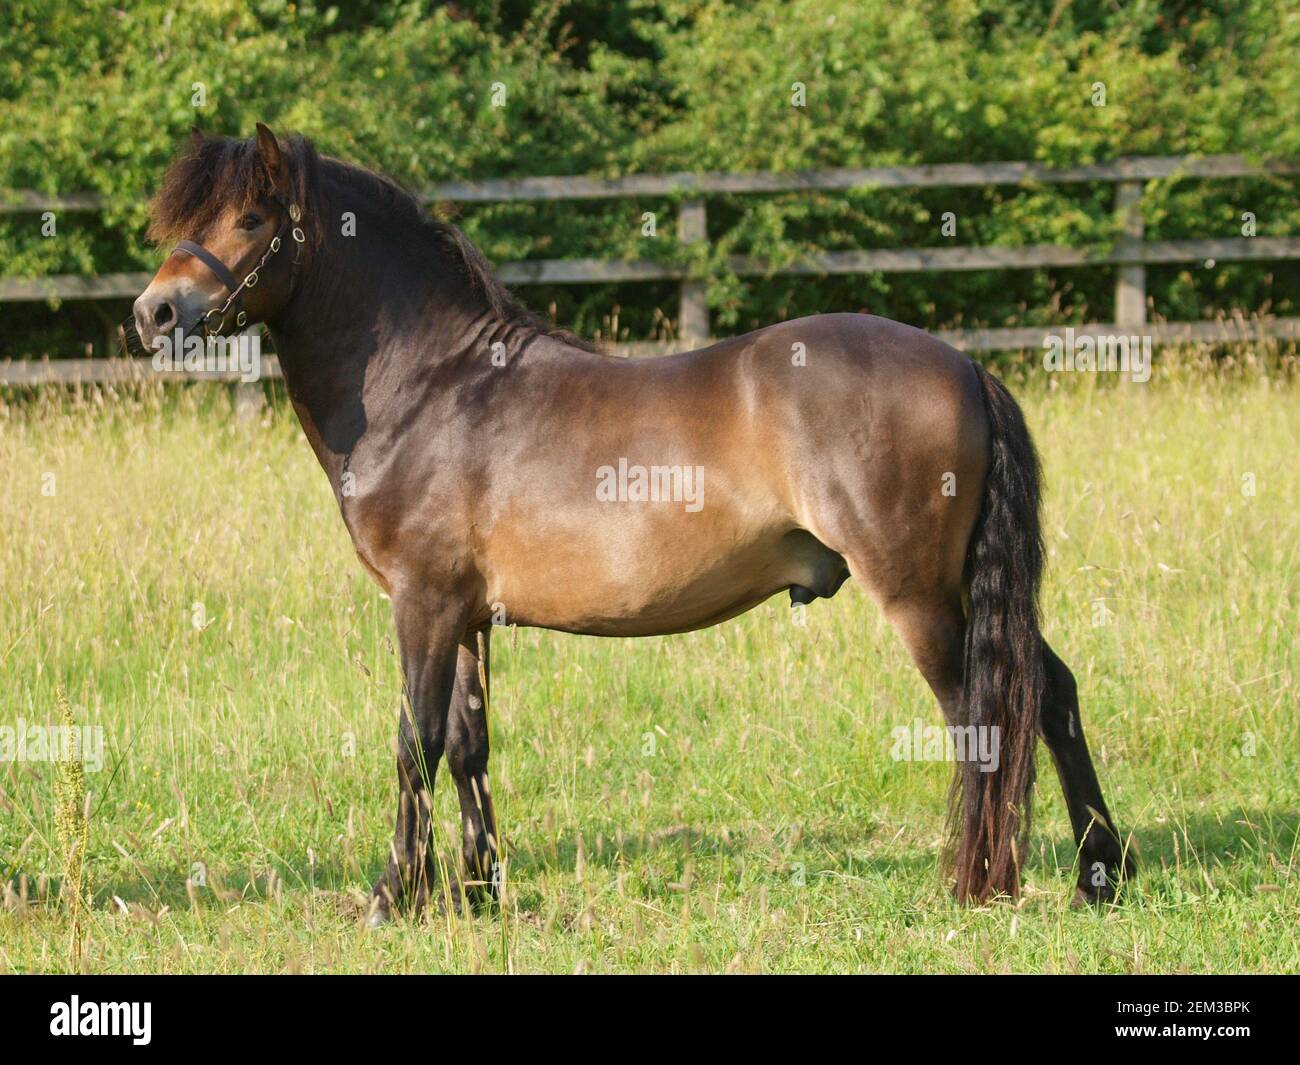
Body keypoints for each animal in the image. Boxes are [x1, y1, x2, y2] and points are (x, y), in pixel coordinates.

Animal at [130, 124, 1131, 923]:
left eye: (250, 219)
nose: (153, 312)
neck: (434, 385)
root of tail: (964, 364)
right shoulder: (468, 614)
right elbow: (468, 744)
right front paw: (479, 891)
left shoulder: (422, 603)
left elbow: (414, 741)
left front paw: (392, 896)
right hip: (962, 587)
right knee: (1050, 691)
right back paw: (1099, 873)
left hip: (919, 591)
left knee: (978, 712)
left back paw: (977, 879)